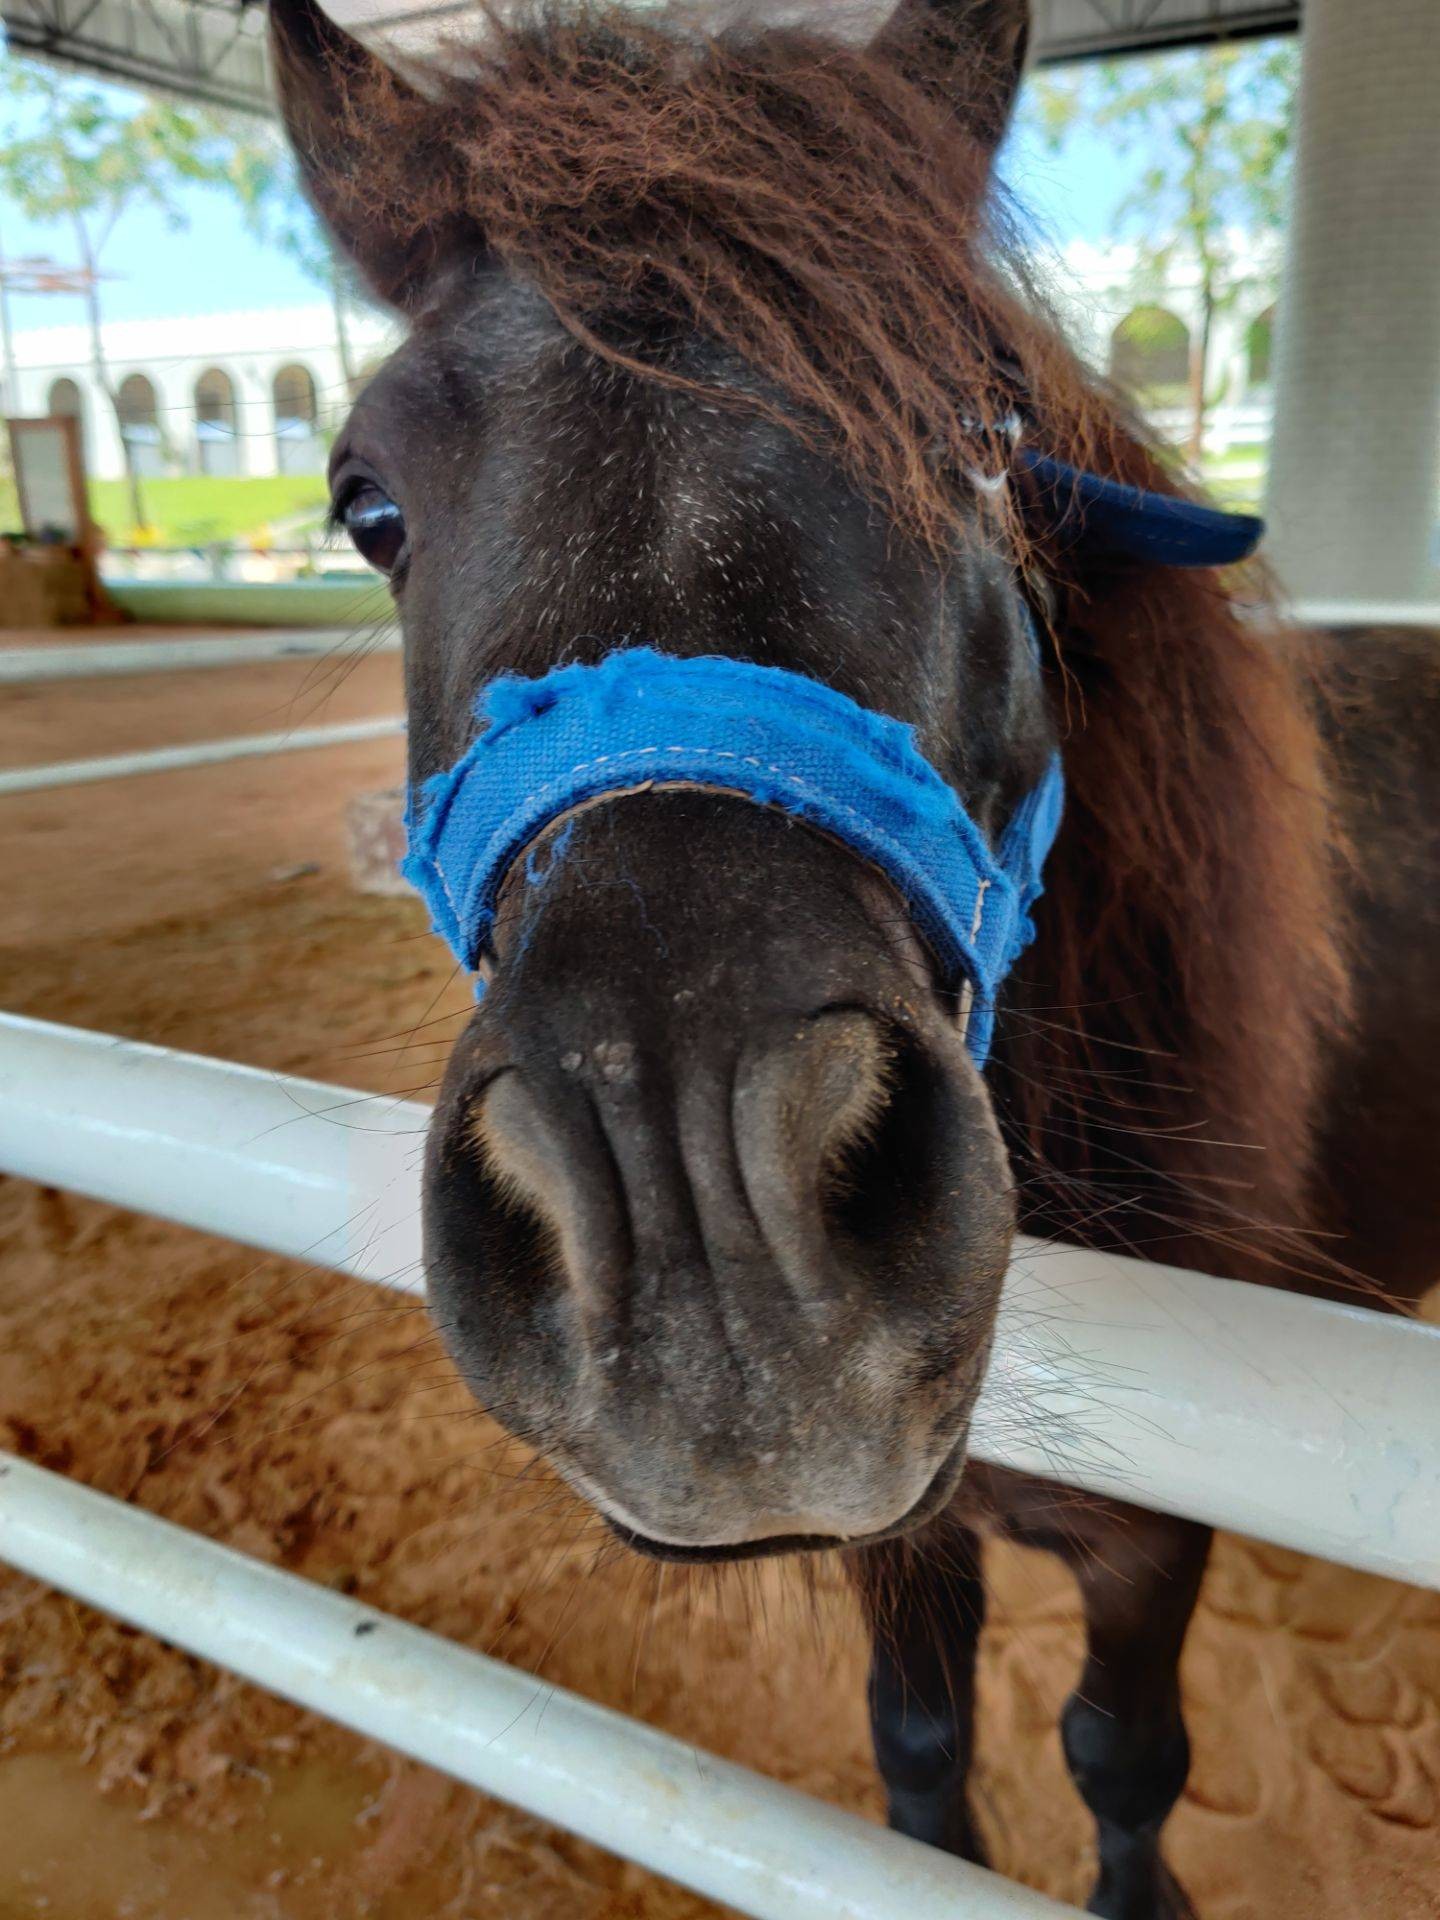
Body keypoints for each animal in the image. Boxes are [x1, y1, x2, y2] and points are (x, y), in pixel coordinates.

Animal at [268, 2, 1440, 1912]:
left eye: (981, 423)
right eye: (367, 506)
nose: (690, 1205)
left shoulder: (1159, 1538)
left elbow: (1122, 1759)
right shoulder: (910, 1535)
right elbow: (920, 1744)